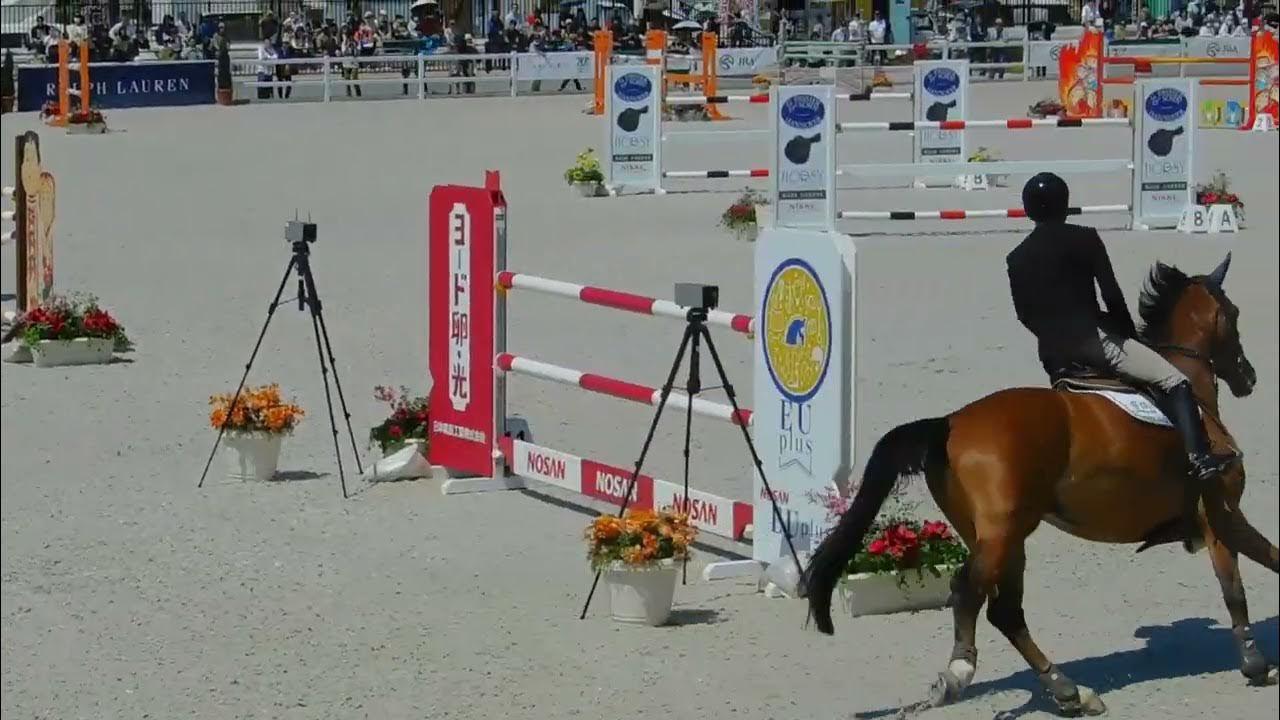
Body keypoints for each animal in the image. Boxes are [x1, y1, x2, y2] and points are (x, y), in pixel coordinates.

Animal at [803, 253, 1277, 716]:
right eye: (1233, 313)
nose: (1250, 377)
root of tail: (948, 423)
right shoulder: (1221, 516)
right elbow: (1237, 586)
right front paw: (1255, 664)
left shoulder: (1221, 520)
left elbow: (1266, 562)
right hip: (1004, 531)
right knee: (971, 593)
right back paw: (961, 674)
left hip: (1000, 536)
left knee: (1005, 610)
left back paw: (1068, 691)